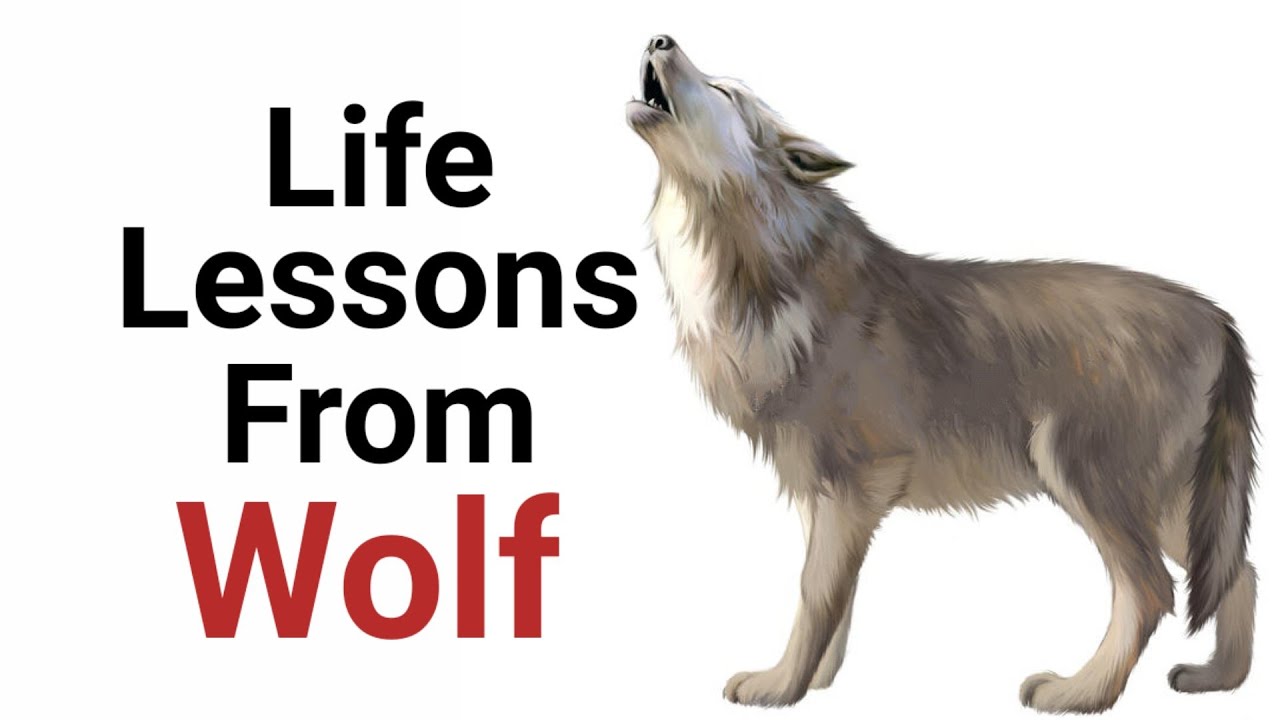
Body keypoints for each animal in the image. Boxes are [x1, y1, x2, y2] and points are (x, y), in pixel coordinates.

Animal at [626, 35, 1258, 713]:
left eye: (722, 92)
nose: (660, 38)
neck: (761, 264)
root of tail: (1218, 317)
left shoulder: (858, 482)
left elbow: (815, 594)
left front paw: (782, 687)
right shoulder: (817, 489)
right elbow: (836, 598)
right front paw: (817, 680)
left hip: (1091, 480)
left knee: (1150, 591)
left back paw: (1080, 692)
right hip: (1173, 503)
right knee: (1237, 572)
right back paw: (1220, 678)